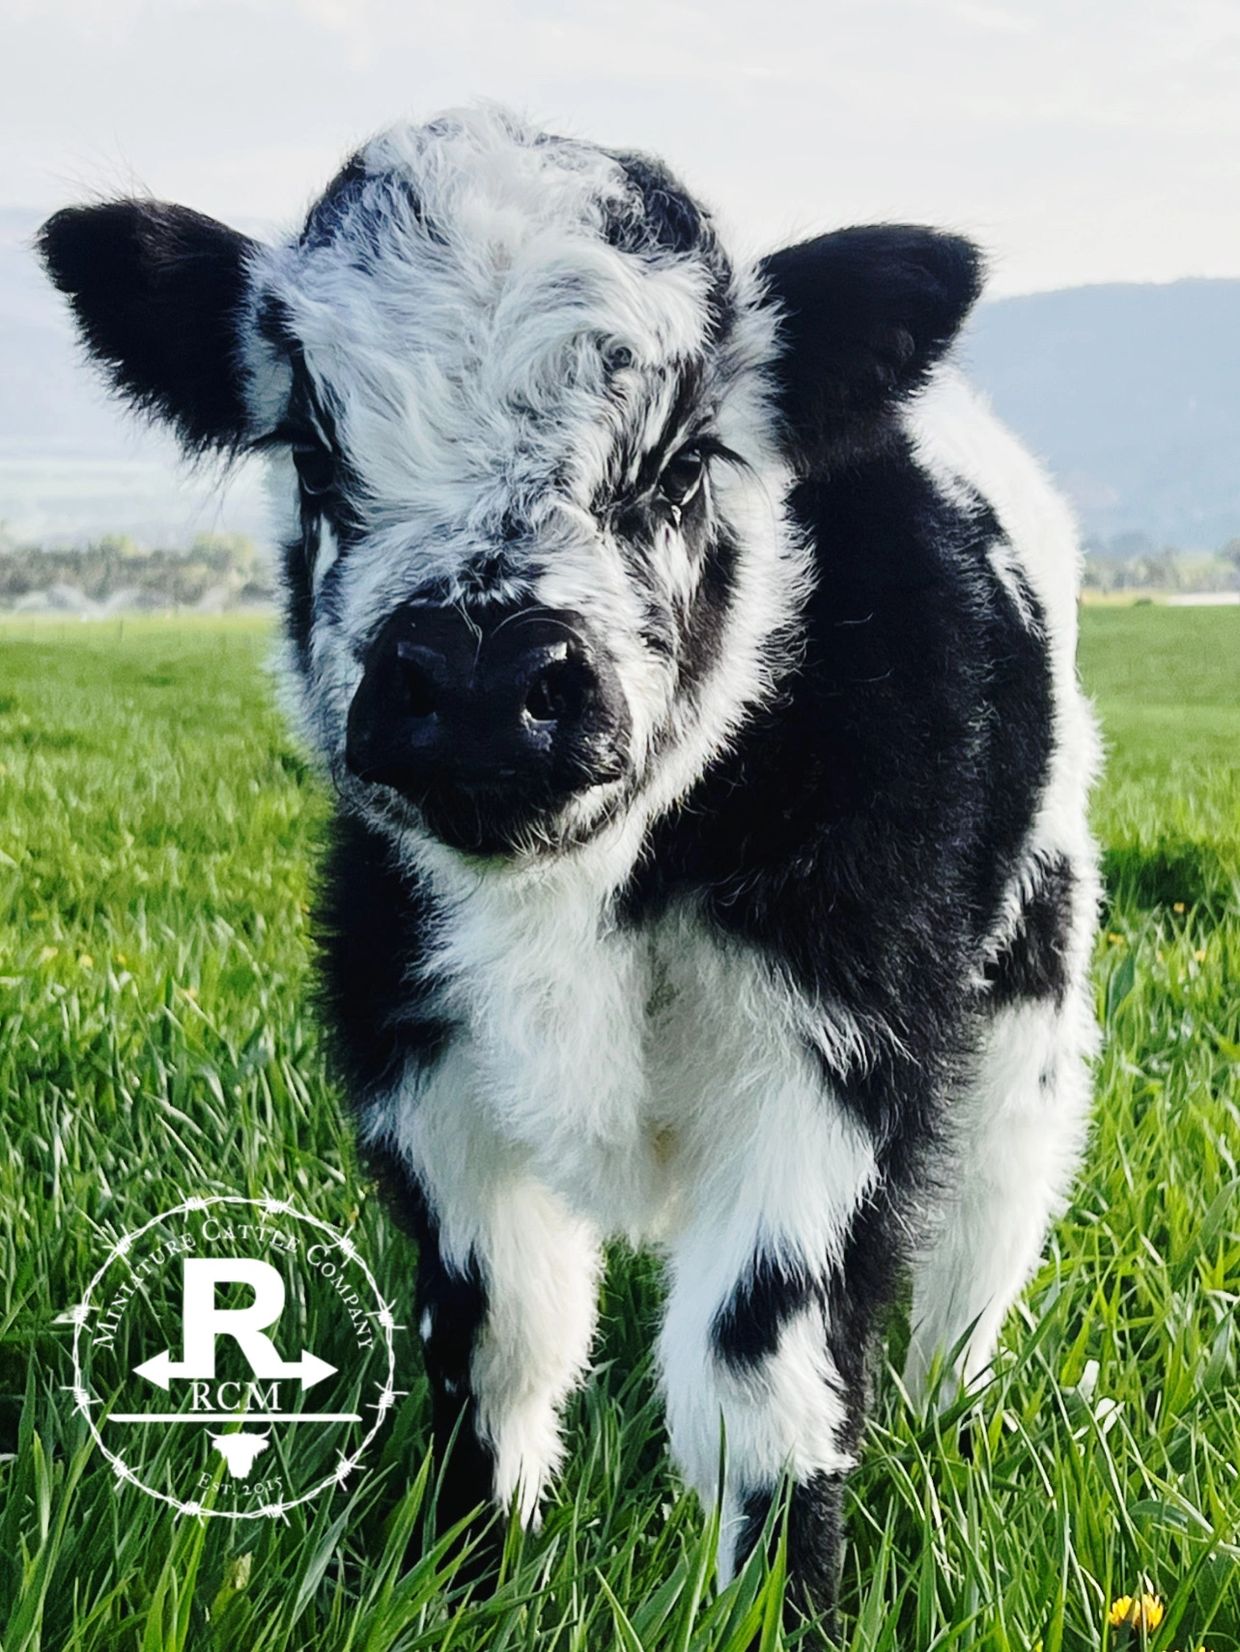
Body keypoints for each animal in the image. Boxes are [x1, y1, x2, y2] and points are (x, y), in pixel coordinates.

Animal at [39, 105, 1100, 1631]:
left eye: (682, 462)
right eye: (314, 449)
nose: (484, 681)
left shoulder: (833, 1046)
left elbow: (755, 1373)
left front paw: (777, 1613)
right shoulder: (413, 1035)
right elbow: (499, 1340)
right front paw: (462, 1585)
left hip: (1035, 979)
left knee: (981, 1241)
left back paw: (948, 1428)